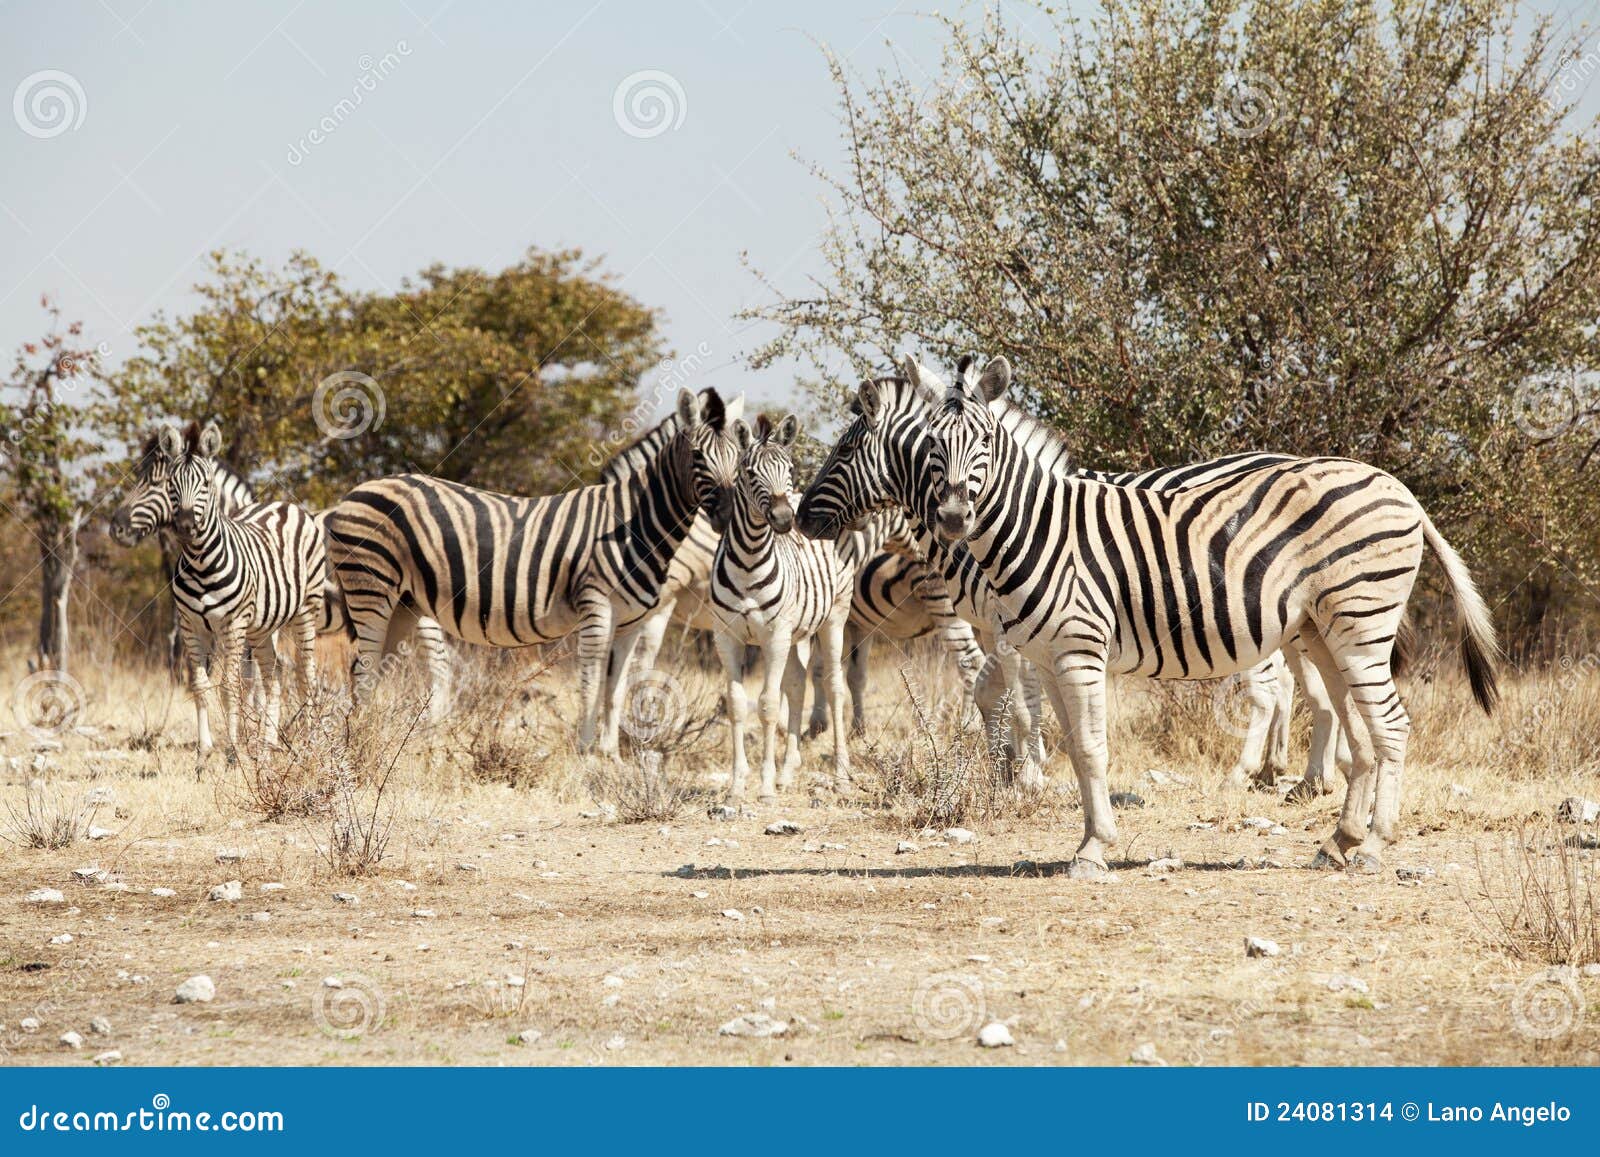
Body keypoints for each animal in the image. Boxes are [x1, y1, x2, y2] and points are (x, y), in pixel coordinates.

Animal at [157, 422, 328, 773]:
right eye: (171, 484)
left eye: (206, 484)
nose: (184, 525)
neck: (201, 563)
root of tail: (284, 504)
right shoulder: (190, 624)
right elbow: (200, 686)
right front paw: (203, 755)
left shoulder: (232, 625)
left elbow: (230, 687)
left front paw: (233, 754)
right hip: (263, 627)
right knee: (275, 675)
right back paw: (266, 746)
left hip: (307, 610)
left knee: (306, 676)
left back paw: (310, 747)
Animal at [323, 387, 740, 755]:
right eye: (698, 455)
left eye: (738, 458)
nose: (725, 514)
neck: (632, 521)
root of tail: (352, 493)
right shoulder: (596, 606)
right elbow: (591, 683)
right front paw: (585, 753)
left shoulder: (631, 621)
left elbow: (617, 688)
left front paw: (611, 757)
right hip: (371, 588)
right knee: (362, 670)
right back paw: (359, 746)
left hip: (404, 604)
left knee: (371, 670)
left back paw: (371, 739)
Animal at [711, 413, 857, 802]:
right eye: (749, 473)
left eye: (788, 467)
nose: (783, 519)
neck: (748, 562)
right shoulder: (727, 636)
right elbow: (736, 704)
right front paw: (736, 785)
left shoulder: (773, 636)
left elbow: (766, 705)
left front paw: (763, 786)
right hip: (794, 632)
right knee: (797, 683)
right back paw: (788, 771)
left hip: (834, 618)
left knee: (834, 686)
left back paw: (841, 773)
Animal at [905, 354, 1497, 876]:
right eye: (932, 443)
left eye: (984, 441)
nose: (952, 518)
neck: (1040, 528)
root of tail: (1400, 489)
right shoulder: (1048, 658)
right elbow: (1073, 747)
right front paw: (1087, 839)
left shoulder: (1079, 649)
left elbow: (1092, 749)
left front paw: (1093, 851)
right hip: (1325, 631)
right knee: (1361, 731)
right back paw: (1340, 841)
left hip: (1362, 621)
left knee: (1391, 726)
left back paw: (1373, 845)